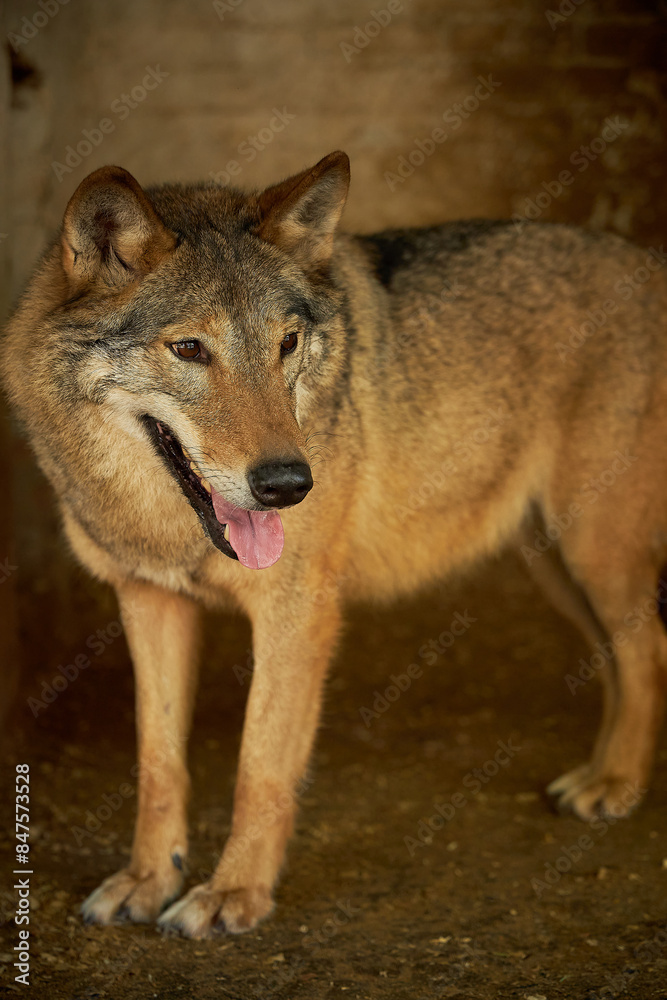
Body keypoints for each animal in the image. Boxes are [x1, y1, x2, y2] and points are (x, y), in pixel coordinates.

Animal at [3, 151, 667, 938]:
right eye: (189, 349)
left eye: (286, 345)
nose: (289, 484)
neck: (162, 522)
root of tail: (652, 266)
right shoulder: (148, 600)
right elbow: (159, 762)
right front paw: (148, 881)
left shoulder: (298, 615)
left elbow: (259, 766)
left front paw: (234, 895)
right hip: (557, 565)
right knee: (618, 658)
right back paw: (599, 774)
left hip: (592, 552)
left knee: (646, 648)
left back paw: (617, 786)